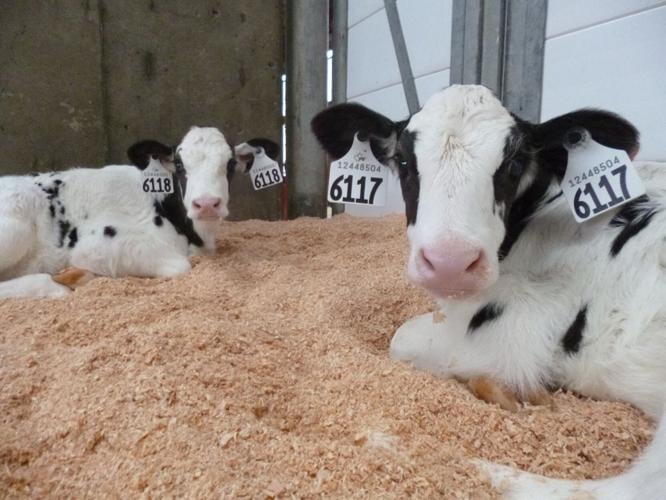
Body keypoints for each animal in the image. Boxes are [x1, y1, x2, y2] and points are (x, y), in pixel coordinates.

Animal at [0, 126, 278, 299]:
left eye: (230, 163)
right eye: (179, 164)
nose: (207, 203)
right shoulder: (98, 242)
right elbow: (181, 265)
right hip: (15, 230)